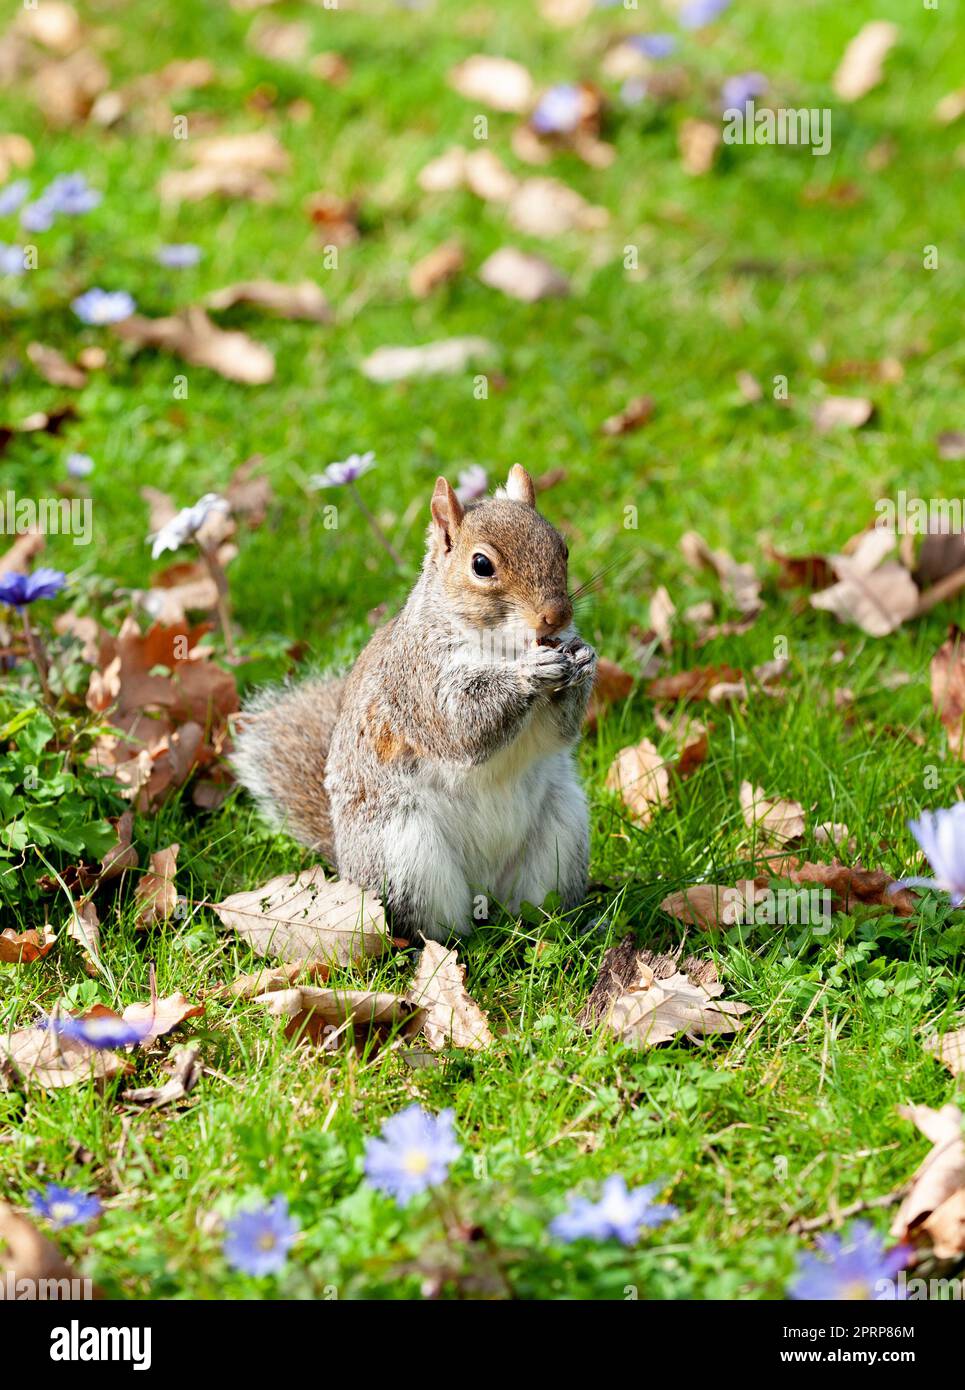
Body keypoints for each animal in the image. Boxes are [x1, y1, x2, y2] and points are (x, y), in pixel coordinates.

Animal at [232, 465, 598, 942]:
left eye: (563, 549)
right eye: (481, 565)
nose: (557, 617)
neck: (501, 647)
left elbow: (558, 732)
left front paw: (585, 657)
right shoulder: (418, 680)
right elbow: (462, 727)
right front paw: (529, 673)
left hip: (561, 833)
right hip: (404, 854)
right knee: (433, 927)